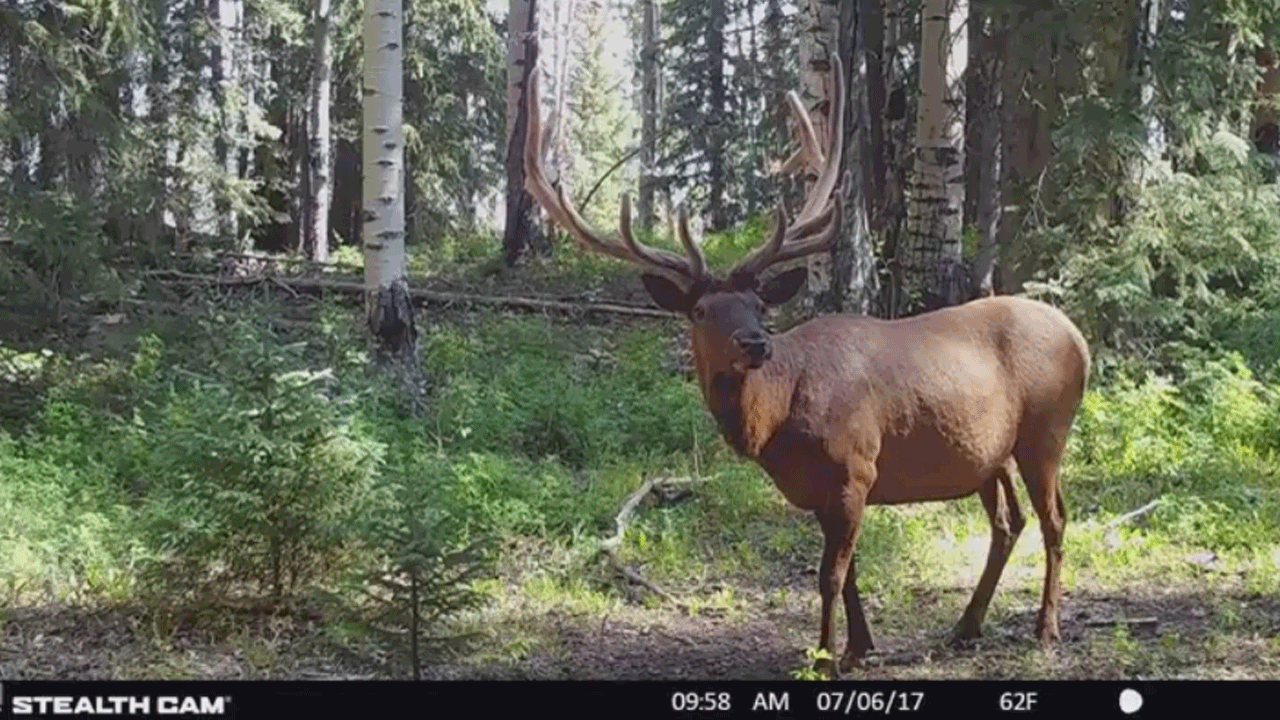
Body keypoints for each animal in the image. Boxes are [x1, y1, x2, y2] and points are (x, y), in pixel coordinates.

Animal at [520, 51, 1091, 678]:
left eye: (760, 305)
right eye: (700, 309)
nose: (755, 344)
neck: (776, 422)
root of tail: (1079, 339)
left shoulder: (855, 470)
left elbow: (829, 576)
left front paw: (823, 657)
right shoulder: (823, 490)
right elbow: (851, 573)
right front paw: (859, 646)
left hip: (1046, 430)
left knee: (1056, 518)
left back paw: (1046, 629)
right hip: (990, 454)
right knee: (1007, 522)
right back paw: (965, 626)